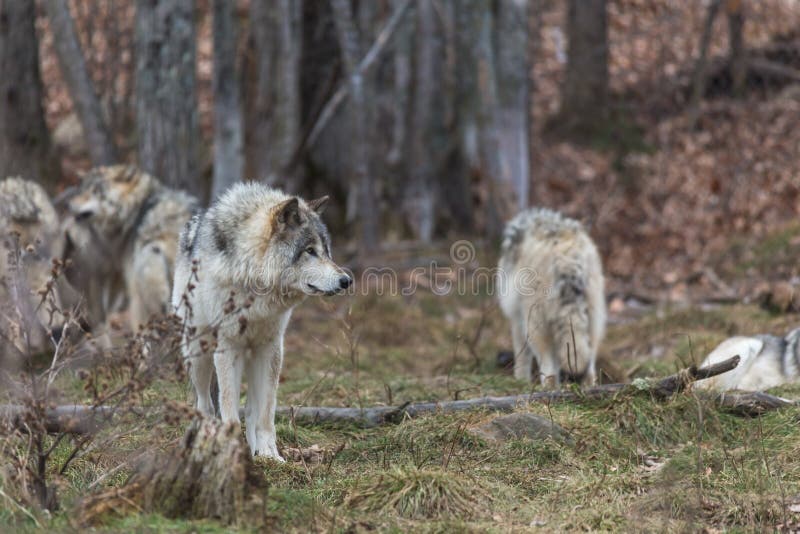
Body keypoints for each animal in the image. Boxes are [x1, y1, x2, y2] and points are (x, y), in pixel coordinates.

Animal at [172, 183, 352, 460]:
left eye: (326, 251)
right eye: (309, 251)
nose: (346, 281)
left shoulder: (271, 347)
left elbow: (266, 413)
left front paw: (270, 455)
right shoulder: (228, 347)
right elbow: (228, 407)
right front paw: (231, 453)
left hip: (253, 356)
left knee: (252, 409)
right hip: (198, 353)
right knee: (205, 403)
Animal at [497, 208, 606, 386]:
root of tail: (567, 256)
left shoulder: (517, 320)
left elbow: (522, 356)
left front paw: (521, 381)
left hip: (535, 324)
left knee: (549, 370)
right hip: (594, 320)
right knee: (589, 367)